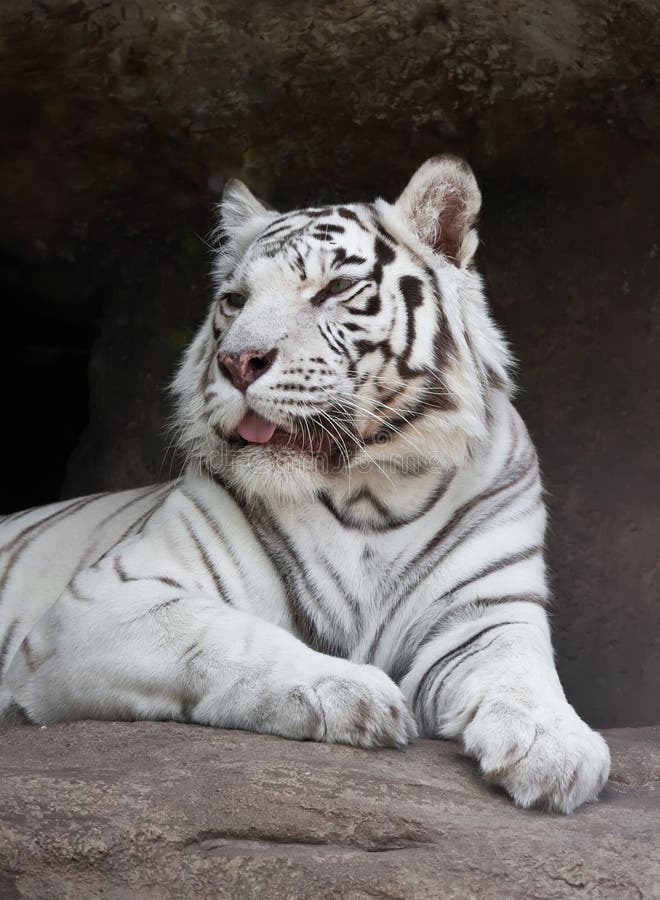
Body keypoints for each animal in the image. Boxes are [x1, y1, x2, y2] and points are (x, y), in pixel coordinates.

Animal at [0, 155, 609, 813]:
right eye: (235, 301)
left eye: (335, 289)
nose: (237, 362)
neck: (370, 491)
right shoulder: (105, 598)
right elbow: (227, 637)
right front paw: (352, 693)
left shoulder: (487, 613)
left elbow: (521, 670)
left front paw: (556, 749)